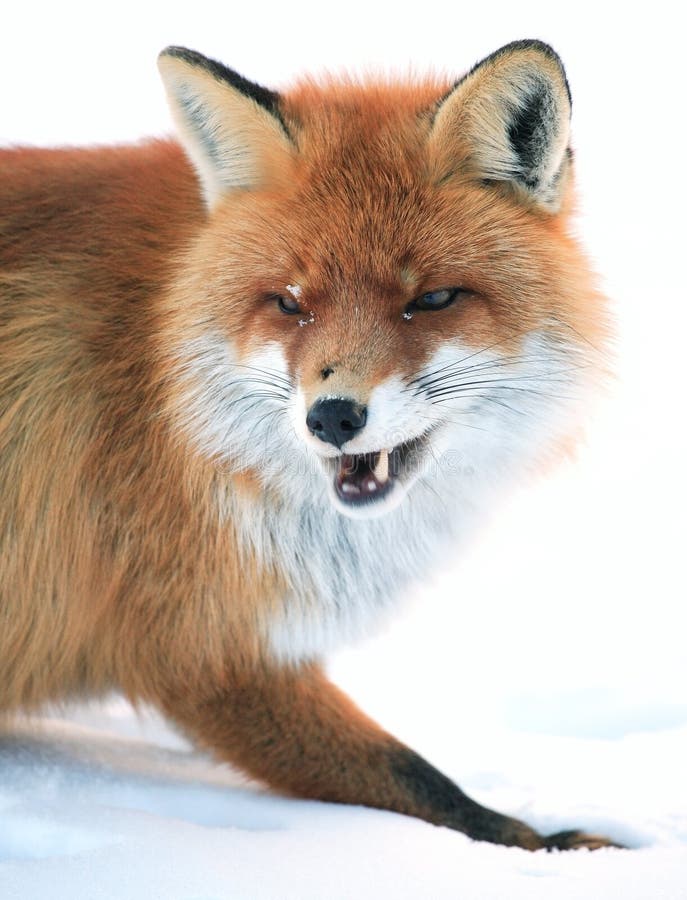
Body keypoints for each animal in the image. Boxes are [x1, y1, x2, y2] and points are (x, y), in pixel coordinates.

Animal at [0, 39, 613, 850]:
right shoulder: (203, 648)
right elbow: (422, 782)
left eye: (432, 299)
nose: (332, 417)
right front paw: (547, 850)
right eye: (290, 304)